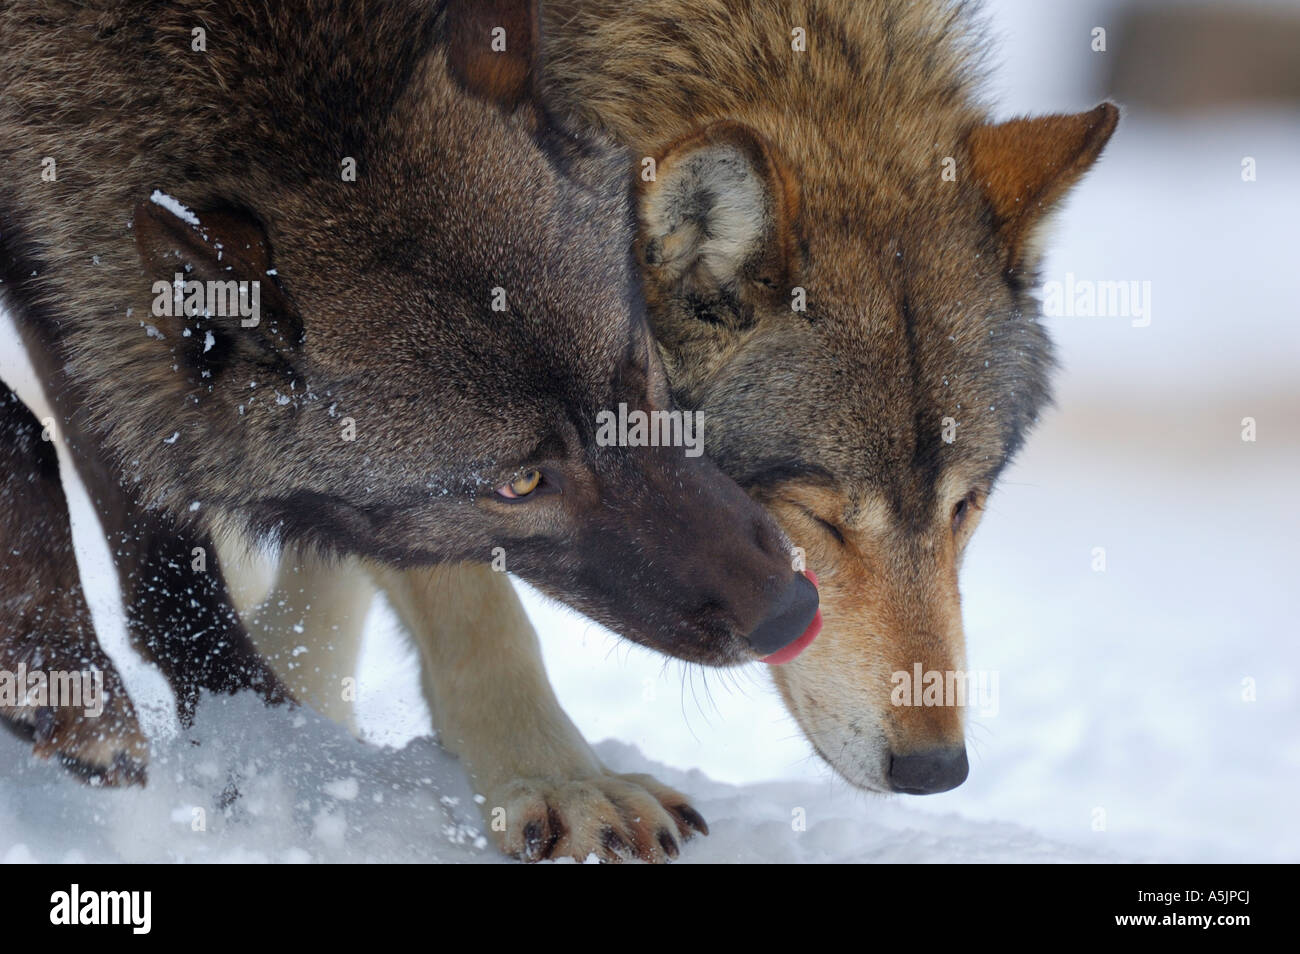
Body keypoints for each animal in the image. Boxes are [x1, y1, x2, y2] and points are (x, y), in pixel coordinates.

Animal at [0, 1, 817, 791]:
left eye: (636, 372)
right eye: (520, 483)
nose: (790, 612)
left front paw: (250, 726)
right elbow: (32, 442)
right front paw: (75, 689)